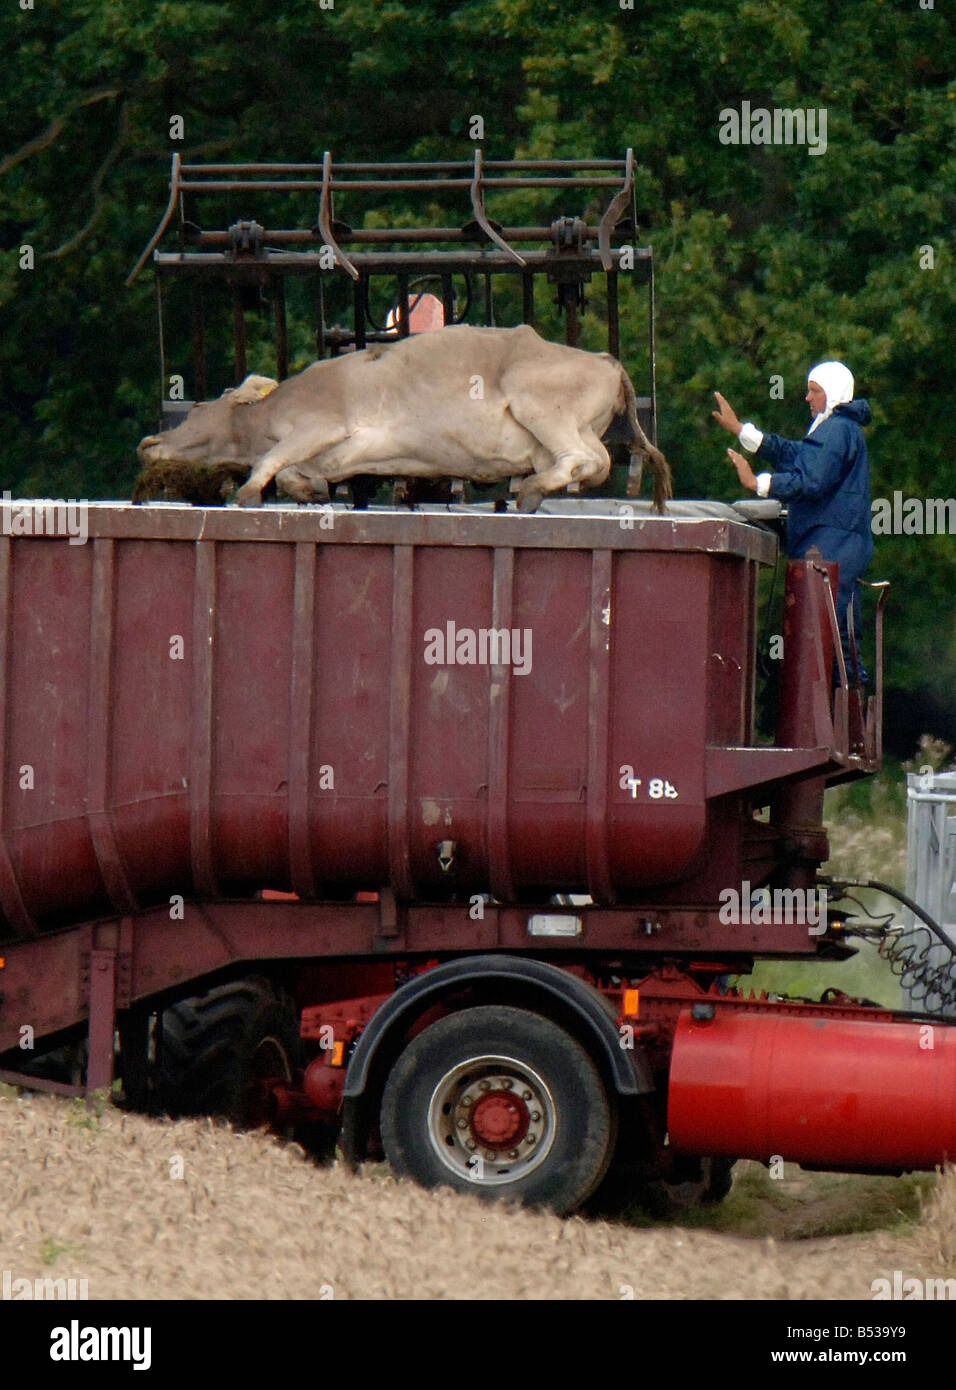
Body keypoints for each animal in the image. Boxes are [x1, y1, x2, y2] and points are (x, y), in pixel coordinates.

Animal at [135, 324, 671, 513]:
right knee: (595, 462)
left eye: (197, 407)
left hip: (541, 409)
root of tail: (606, 359)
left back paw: (533, 491)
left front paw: (249, 492)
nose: (147, 444)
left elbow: (270, 460)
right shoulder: (339, 451)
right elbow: (296, 472)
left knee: (584, 459)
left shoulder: (320, 424)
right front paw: (308, 491)